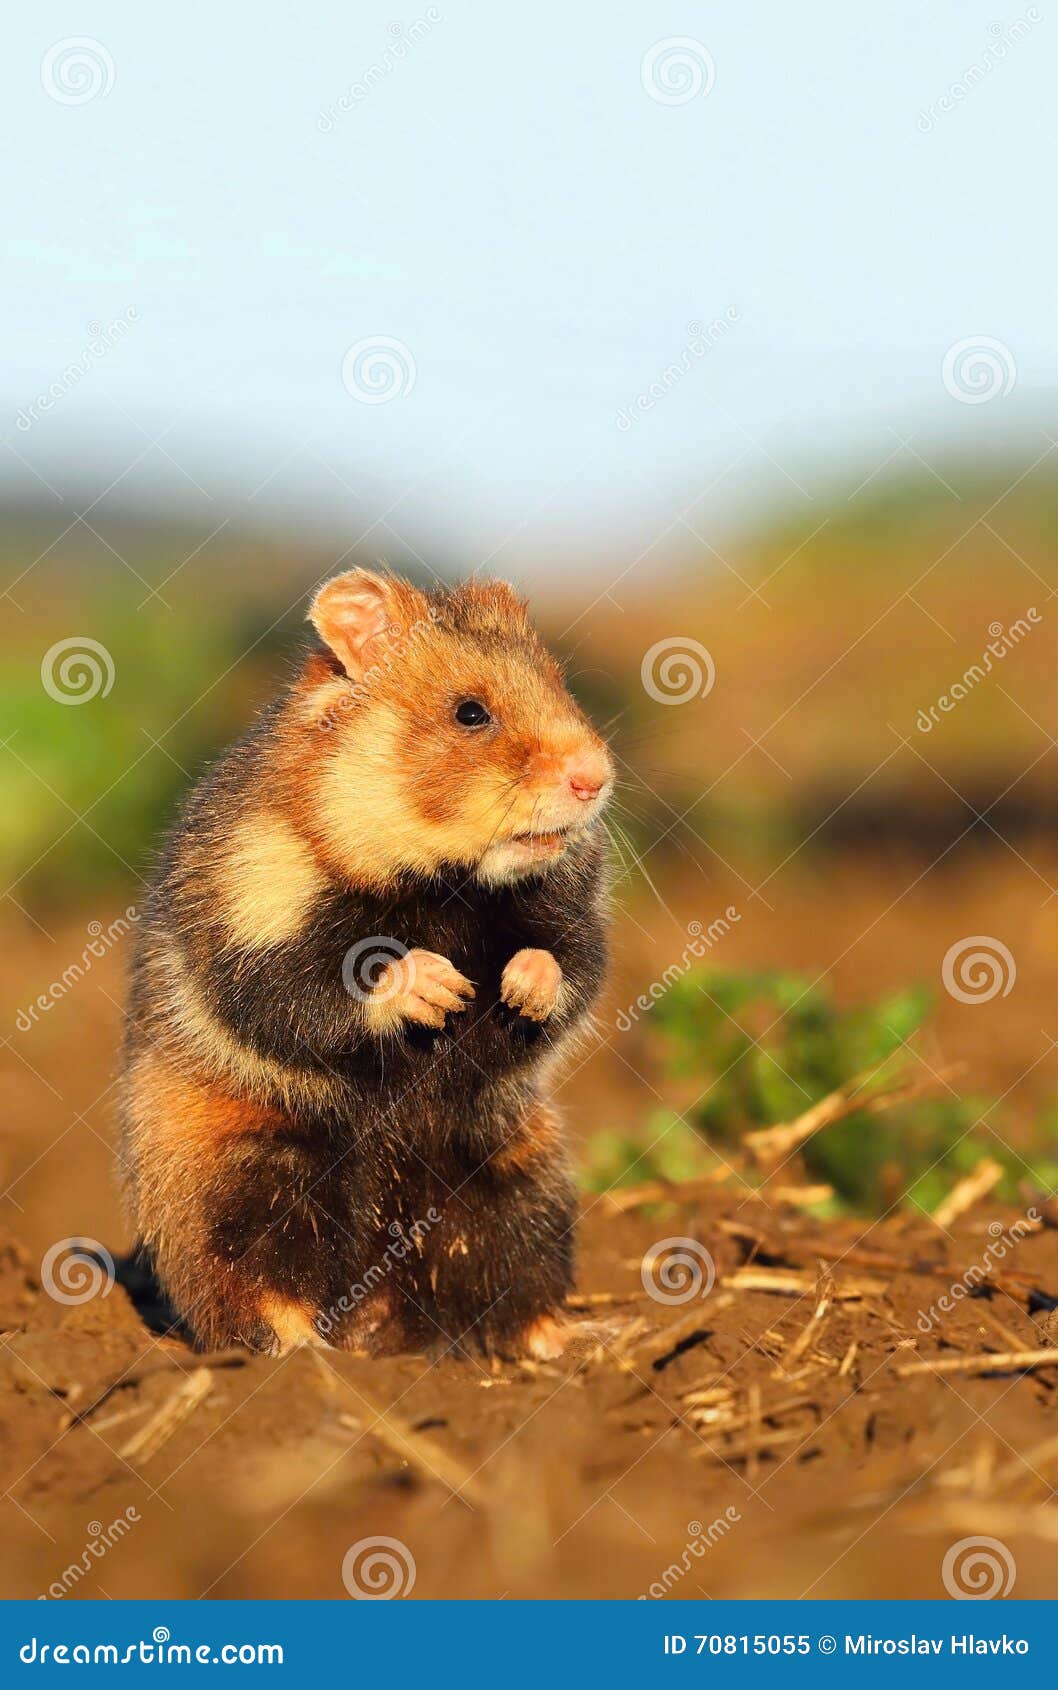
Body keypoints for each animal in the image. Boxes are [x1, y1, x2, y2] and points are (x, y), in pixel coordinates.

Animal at [118, 569, 613, 1359]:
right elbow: (305, 987)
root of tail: (375, 1318)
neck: (444, 882)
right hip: (242, 1176)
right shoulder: (250, 912)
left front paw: (517, 986)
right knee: (256, 1286)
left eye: (561, 683)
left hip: (517, 1167)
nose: (596, 779)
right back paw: (309, 1355)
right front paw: (441, 988)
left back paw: (575, 1342)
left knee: (513, 1280)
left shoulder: (572, 908)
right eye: (470, 713)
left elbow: (572, 960)